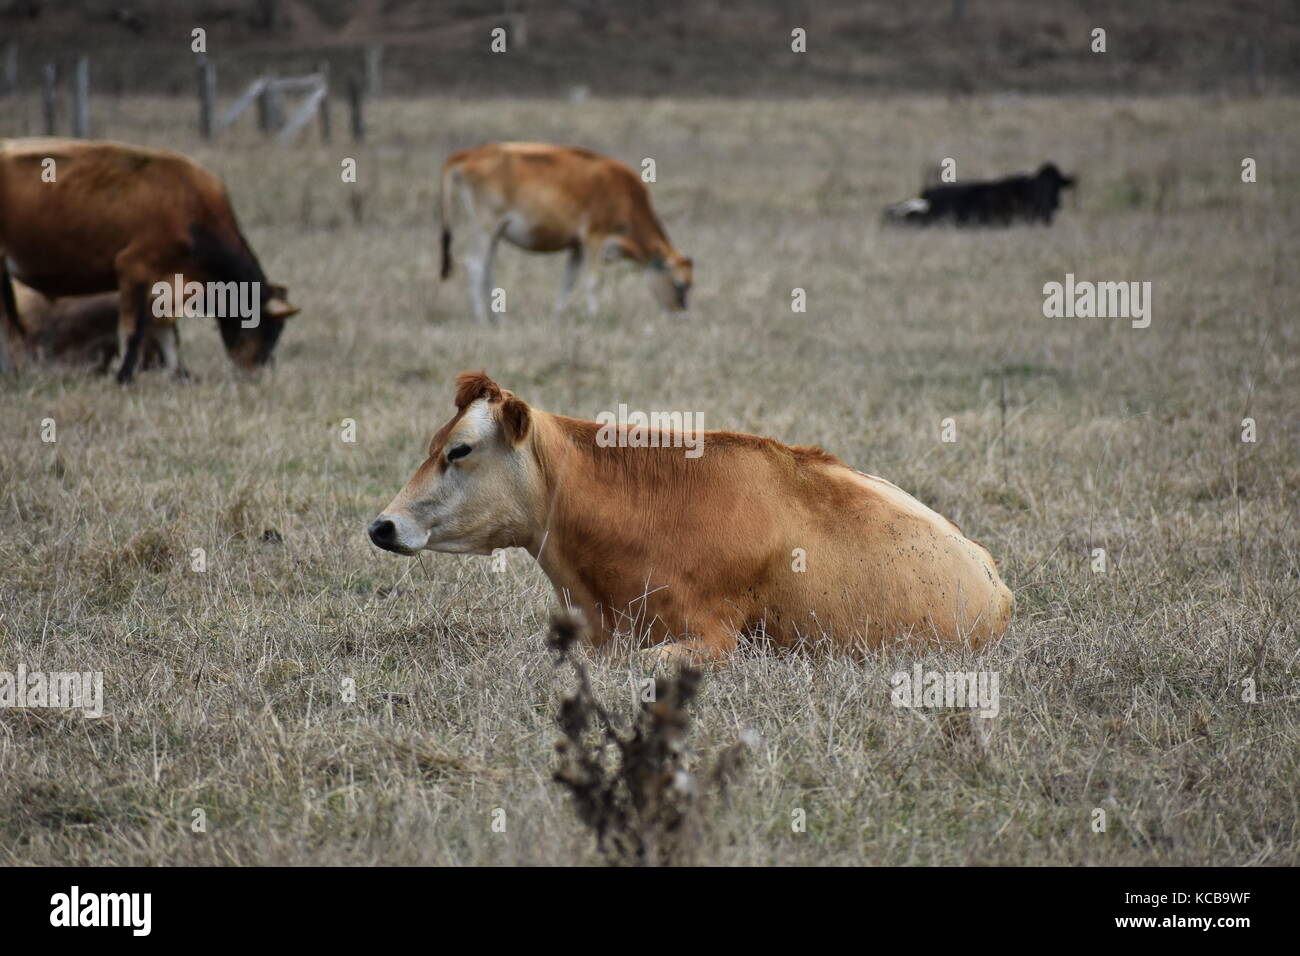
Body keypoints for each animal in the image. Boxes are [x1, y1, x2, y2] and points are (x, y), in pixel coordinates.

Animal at [0, 138, 299, 383]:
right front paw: (123, 378)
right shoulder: (135, 270)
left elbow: (168, 334)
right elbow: (134, 331)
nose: (258, 372)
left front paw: (180, 375)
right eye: (271, 327)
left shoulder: (166, 288)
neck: (192, 211)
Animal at [438, 143, 693, 320]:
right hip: (485, 226)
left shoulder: (576, 246)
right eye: (680, 285)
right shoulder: (594, 238)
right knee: (475, 266)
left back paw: (498, 320)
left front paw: (557, 317)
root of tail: (468, 155)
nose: (682, 317)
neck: (626, 197)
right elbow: (592, 280)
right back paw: (480, 318)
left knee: (488, 270)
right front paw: (594, 317)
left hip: (495, 234)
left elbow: (568, 281)